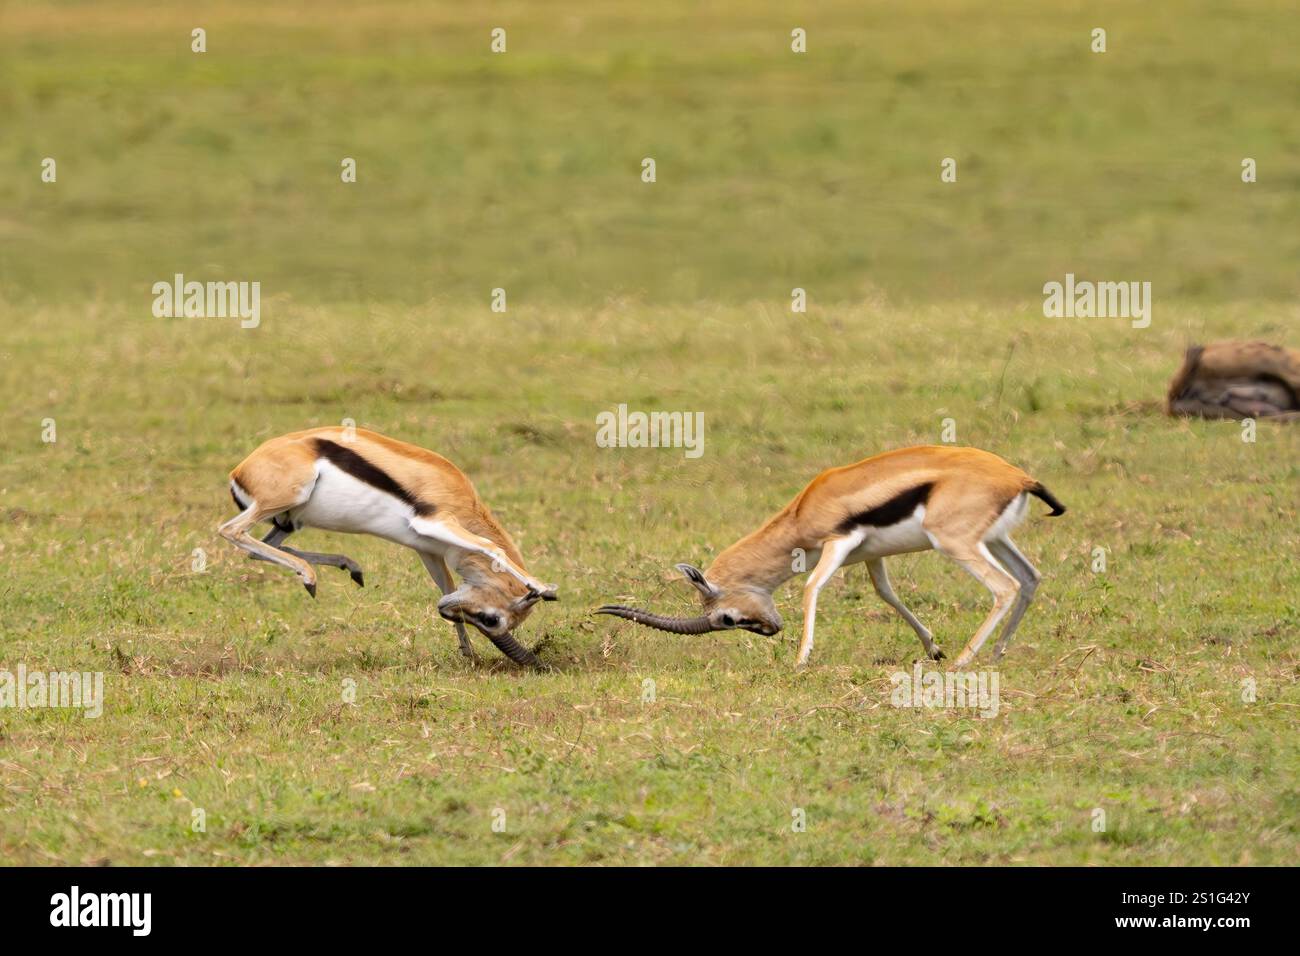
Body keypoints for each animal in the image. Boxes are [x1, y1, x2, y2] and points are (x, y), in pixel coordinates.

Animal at [217, 426, 557, 667]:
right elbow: (490, 546)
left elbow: (445, 585)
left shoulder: (428, 549)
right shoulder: (435, 523)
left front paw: (468, 653)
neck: (458, 495)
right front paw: (543, 587)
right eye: (492, 620)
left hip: (289, 522)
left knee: (258, 548)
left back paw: (348, 568)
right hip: (287, 499)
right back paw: (311, 577)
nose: (446, 612)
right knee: (230, 530)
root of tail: (240, 470)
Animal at [596, 446, 1065, 668]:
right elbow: (886, 594)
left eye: (726, 619)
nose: (771, 630)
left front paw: (801, 659)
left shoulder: (837, 543)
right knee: (1030, 579)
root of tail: (1018, 477)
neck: (803, 509)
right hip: (996, 540)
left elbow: (810, 586)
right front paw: (932, 648)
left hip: (956, 544)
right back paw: (996, 654)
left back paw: (966, 661)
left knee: (1004, 587)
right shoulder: (869, 556)